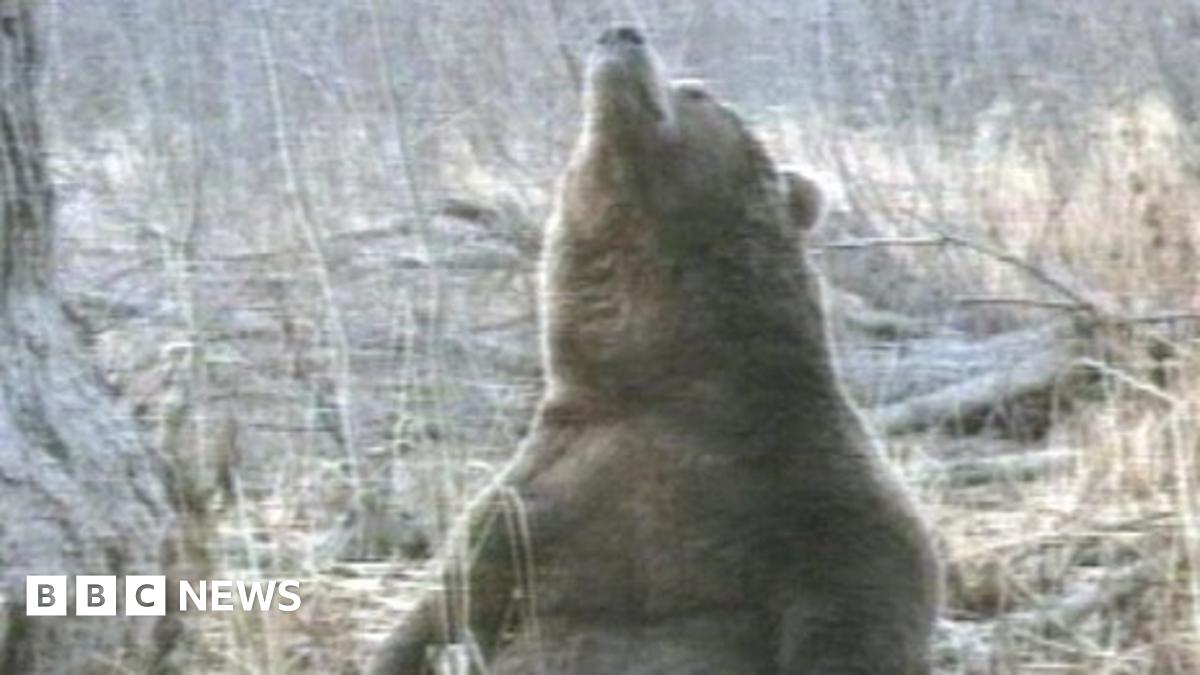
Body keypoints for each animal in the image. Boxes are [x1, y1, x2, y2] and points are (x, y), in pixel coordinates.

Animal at [371, 25, 940, 675]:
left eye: (698, 91)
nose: (620, 34)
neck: (661, 384)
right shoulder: (537, 501)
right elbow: (442, 608)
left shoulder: (818, 503)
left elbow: (856, 617)